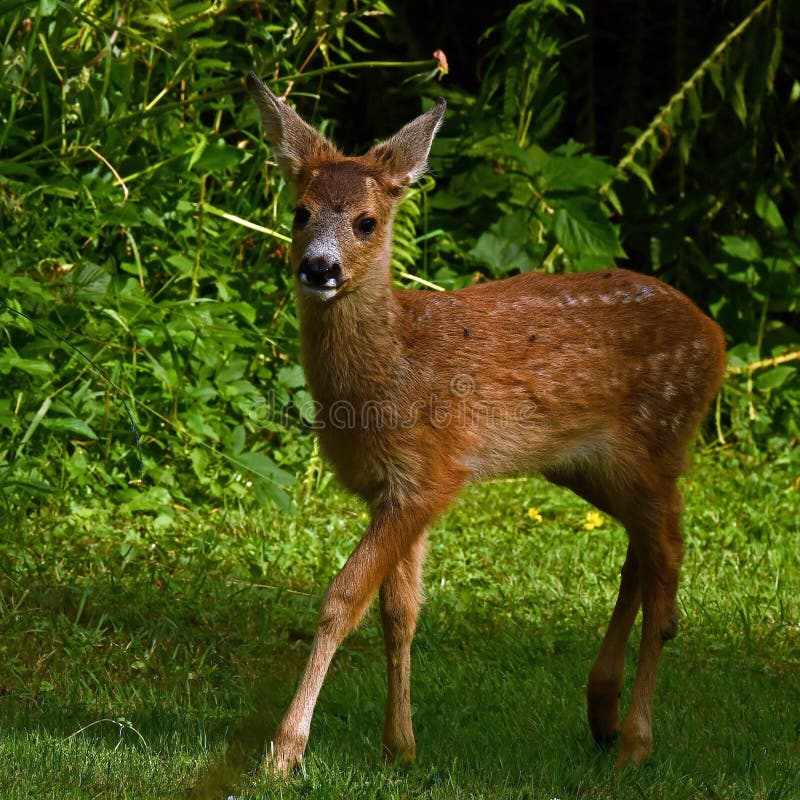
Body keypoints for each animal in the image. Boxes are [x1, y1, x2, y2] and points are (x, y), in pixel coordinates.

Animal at [245, 72, 727, 775]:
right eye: (300, 211)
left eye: (367, 222)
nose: (319, 268)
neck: (393, 365)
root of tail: (719, 340)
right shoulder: (396, 491)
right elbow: (400, 612)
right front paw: (401, 747)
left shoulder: (428, 474)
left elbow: (341, 601)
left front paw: (285, 751)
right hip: (594, 466)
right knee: (646, 551)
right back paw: (602, 713)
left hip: (655, 440)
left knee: (666, 574)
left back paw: (634, 743)